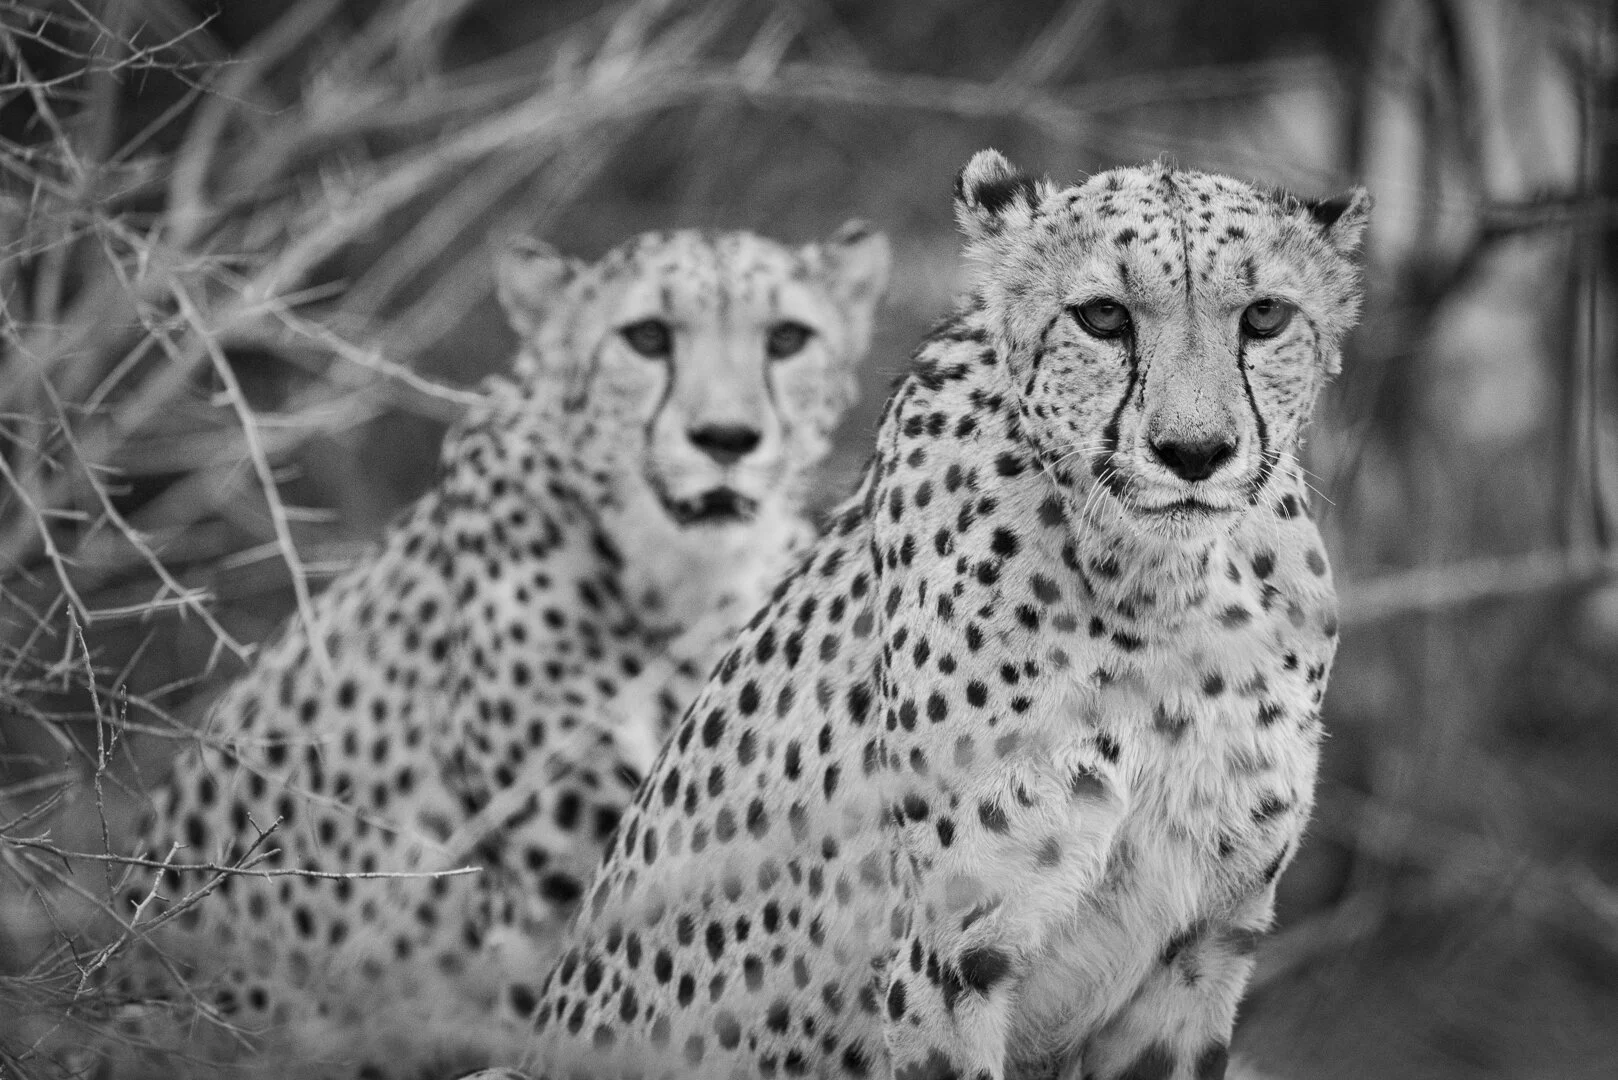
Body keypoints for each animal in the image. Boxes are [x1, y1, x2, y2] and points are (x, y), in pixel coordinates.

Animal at [494, 152, 1370, 1080]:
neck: (1166, 595)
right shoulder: (955, 951)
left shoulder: (1200, 945)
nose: (1195, 453)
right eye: (1102, 315)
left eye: (1265, 315)